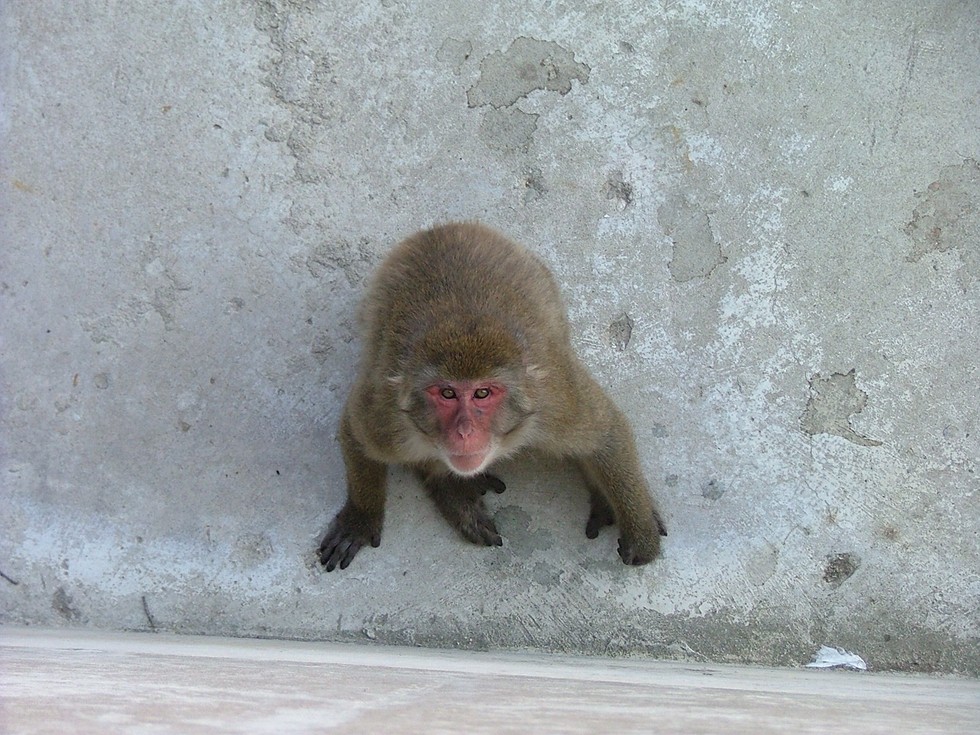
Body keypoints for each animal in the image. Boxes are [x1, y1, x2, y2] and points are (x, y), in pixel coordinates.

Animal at [318, 222, 667, 571]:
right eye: (447, 393)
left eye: (482, 393)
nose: (464, 431)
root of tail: (444, 228)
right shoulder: (386, 415)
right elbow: (355, 433)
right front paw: (361, 516)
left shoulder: (554, 401)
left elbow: (607, 432)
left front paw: (641, 533)